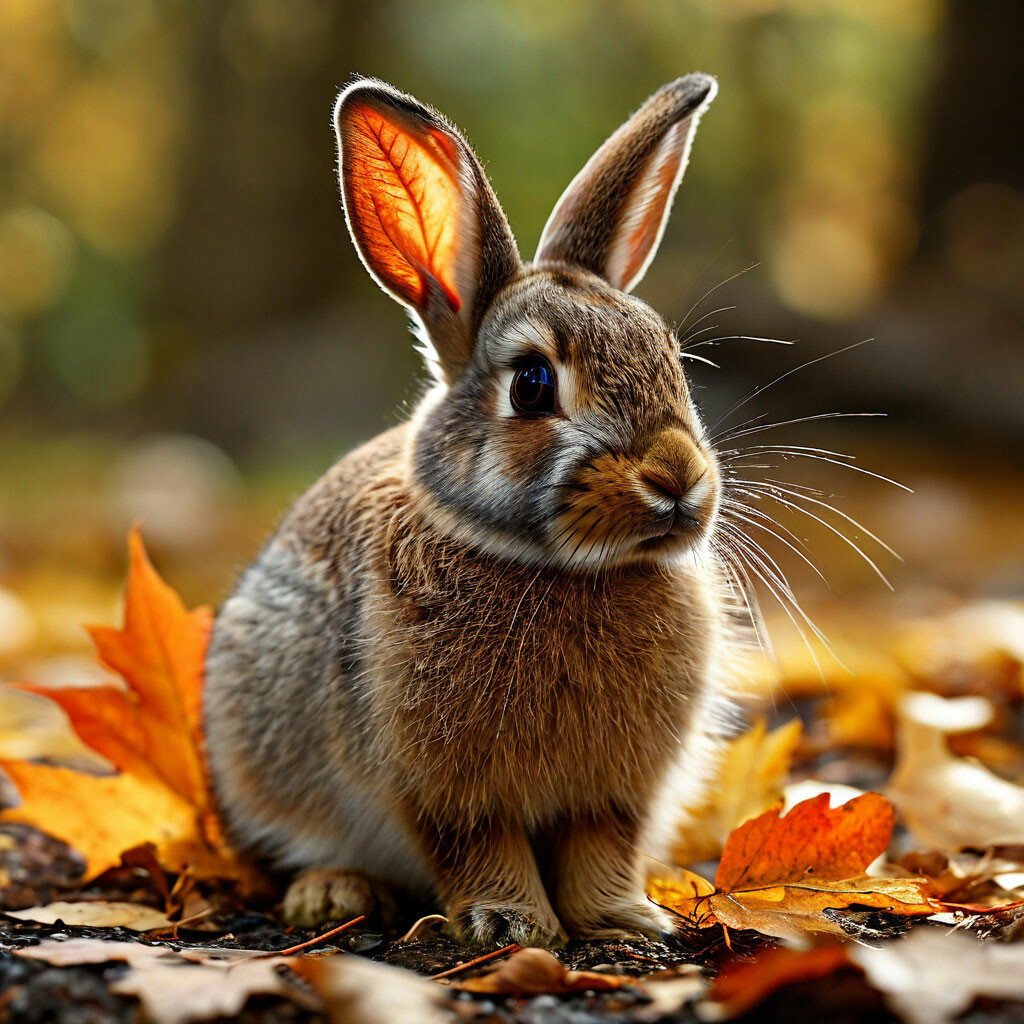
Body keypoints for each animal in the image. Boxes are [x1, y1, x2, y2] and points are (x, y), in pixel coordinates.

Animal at [203, 72, 736, 946]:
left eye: (671, 359)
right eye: (532, 384)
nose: (678, 479)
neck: (555, 567)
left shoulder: (611, 794)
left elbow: (602, 849)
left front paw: (625, 920)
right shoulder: (441, 788)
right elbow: (478, 848)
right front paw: (511, 924)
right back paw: (333, 894)